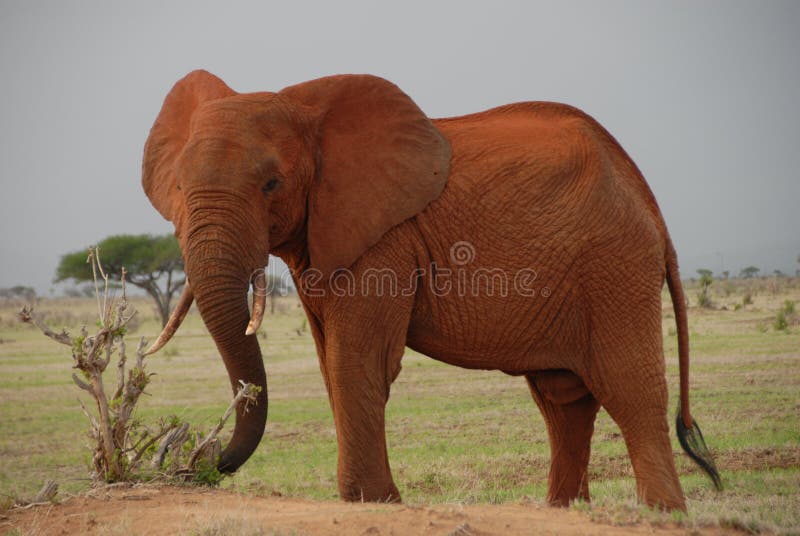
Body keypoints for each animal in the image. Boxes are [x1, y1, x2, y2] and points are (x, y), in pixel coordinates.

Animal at [141, 70, 721, 511]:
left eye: (271, 185)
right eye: (178, 188)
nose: (199, 462)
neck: (306, 109)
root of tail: (647, 196)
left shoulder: (386, 240)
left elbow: (360, 361)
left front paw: (372, 501)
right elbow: (331, 363)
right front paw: (368, 498)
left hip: (615, 264)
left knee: (628, 387)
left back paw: (662, 513)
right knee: (564, 401)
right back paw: (565, 511)